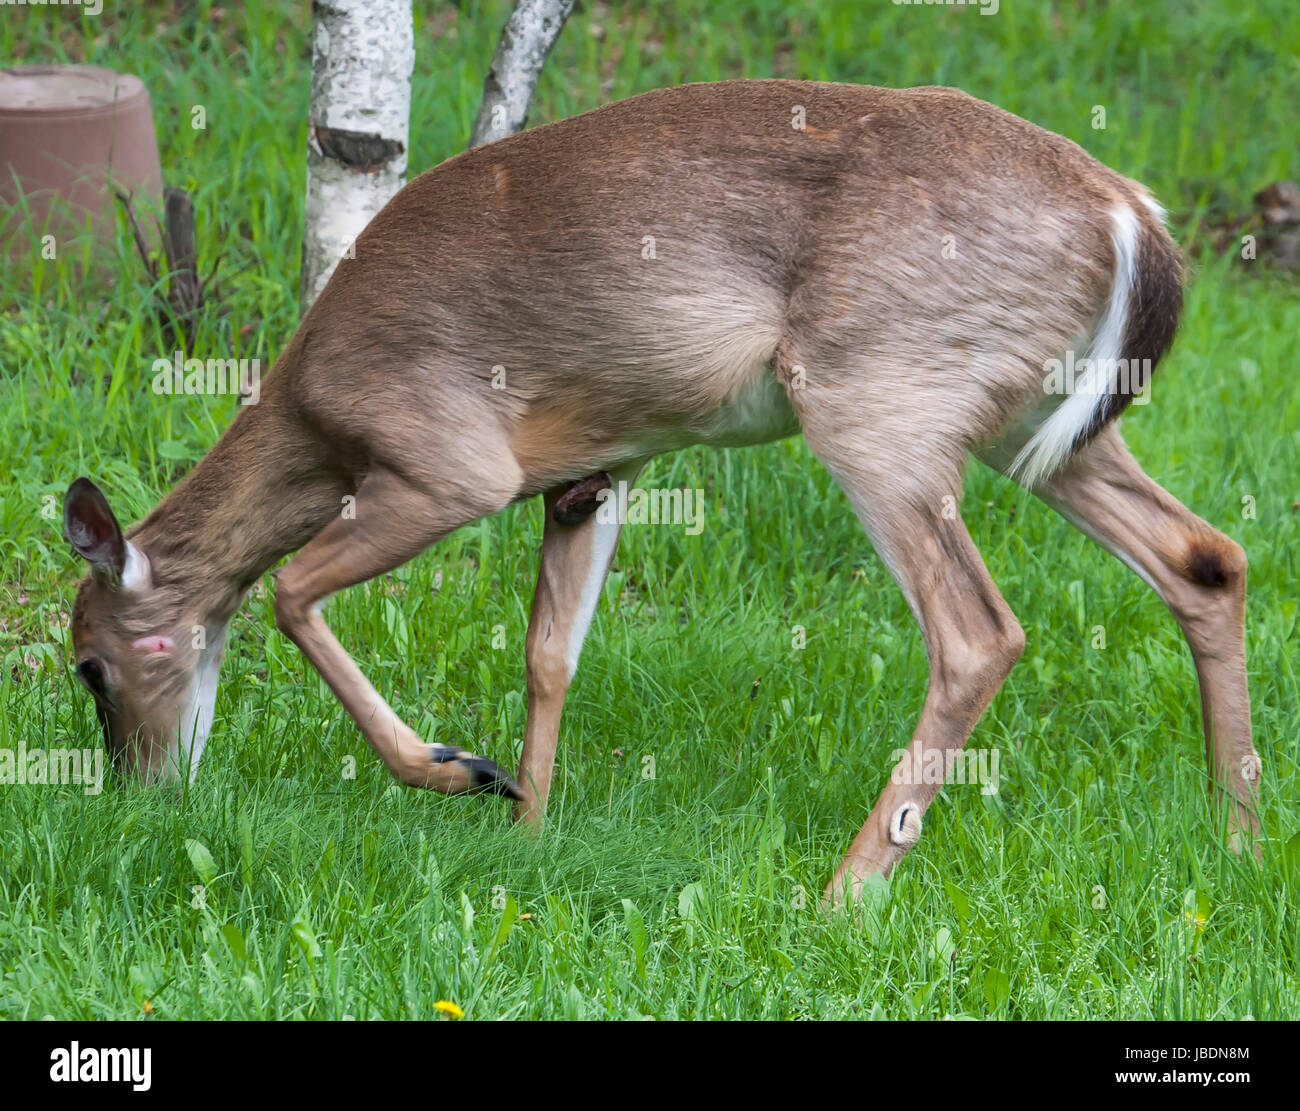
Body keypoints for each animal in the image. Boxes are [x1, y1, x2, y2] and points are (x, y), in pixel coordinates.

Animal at [63, 82, 1258, 909]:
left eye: (91, 665)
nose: (140, 793)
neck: (312, 413)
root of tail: (1131, 214)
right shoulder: (595, 470)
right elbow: (549, 652)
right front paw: (526, 833)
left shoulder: (450, 462)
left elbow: (289, 590)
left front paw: (458, 771)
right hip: (1038, 427)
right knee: (1207, 556)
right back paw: (1237, 835)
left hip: (881, 399)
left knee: (978, 631)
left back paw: (843, 893)